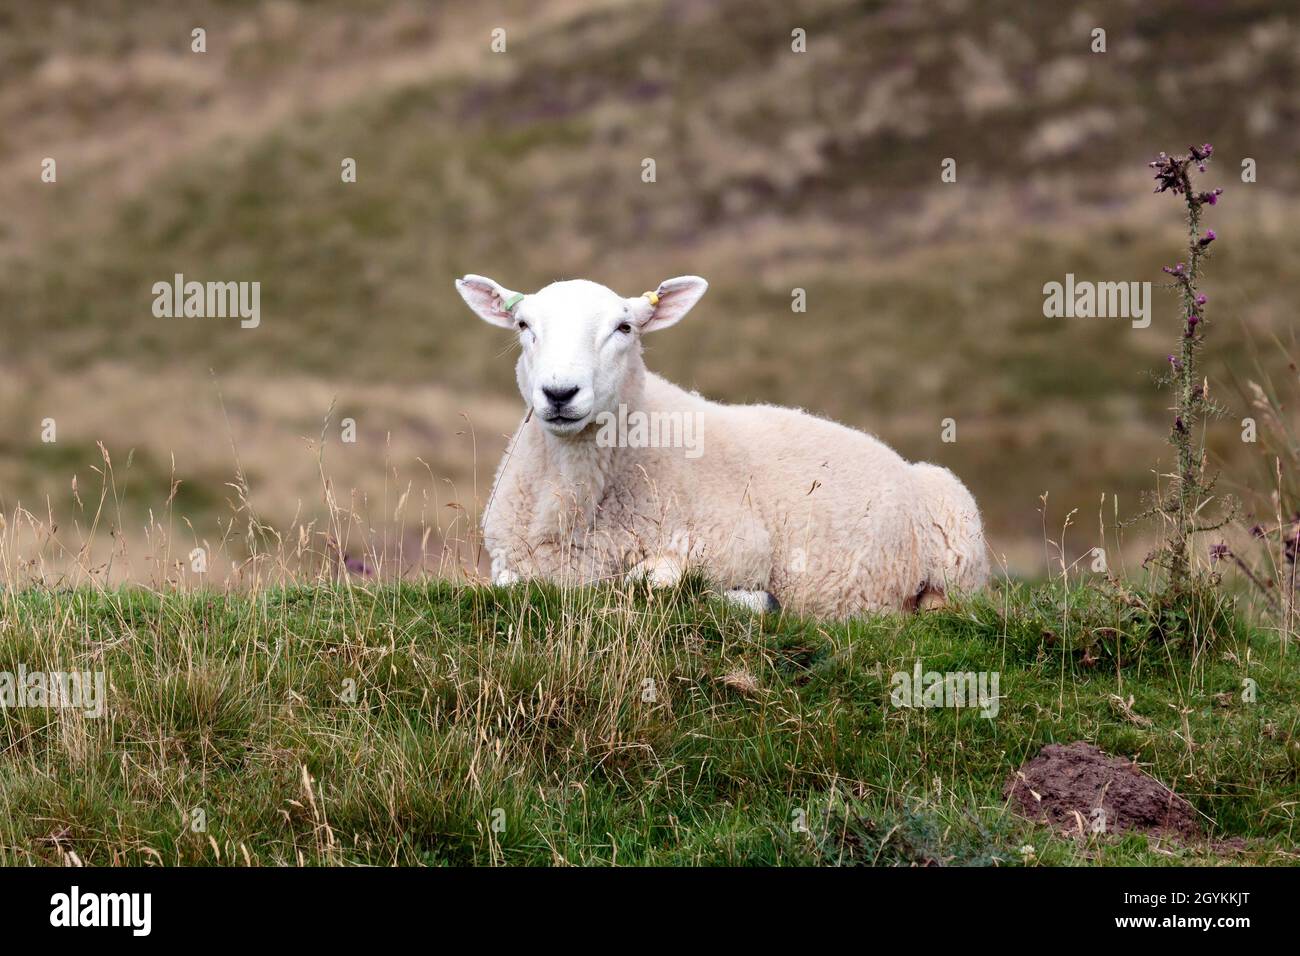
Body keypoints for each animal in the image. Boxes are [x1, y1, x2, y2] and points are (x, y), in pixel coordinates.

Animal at [455, 273, 988, 618]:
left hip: (958, 545)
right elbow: (511, 583)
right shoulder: (509, 562)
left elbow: (649, 582)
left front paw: (758, 601)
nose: (560, 393)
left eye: (625, 327)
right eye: (523, 326)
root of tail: (900, 459)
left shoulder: (738, 547)